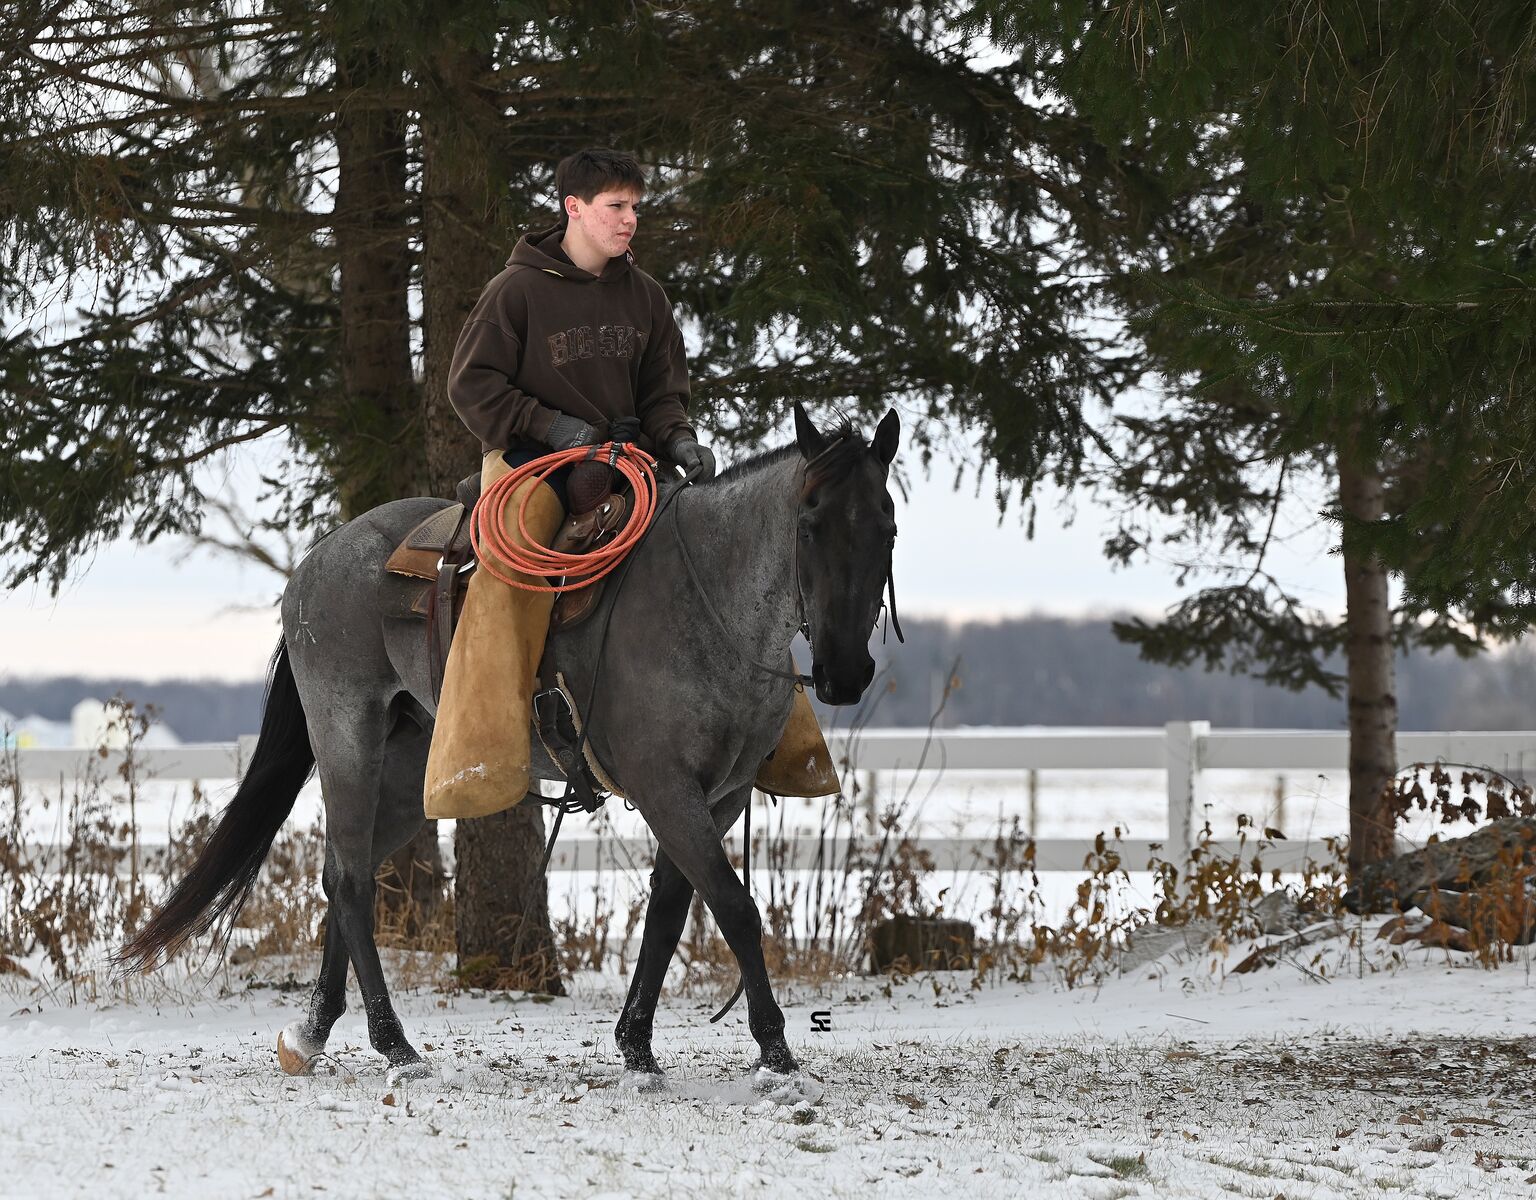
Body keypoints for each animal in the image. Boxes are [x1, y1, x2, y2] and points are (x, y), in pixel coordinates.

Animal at [118, 403, 900, 1086]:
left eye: (888, 528)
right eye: (810, 523)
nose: (845, 672)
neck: (705, 600)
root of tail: (312, 566)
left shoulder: (722, 795)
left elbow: (670, 911)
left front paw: (637, 1047)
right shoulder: (666, 788)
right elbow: (735, 907)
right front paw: (776, 1054)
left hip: (414, 769)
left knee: (349, 869)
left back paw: (312, 1034)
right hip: (348, 736)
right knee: (348, 877)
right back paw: (395, 1045)